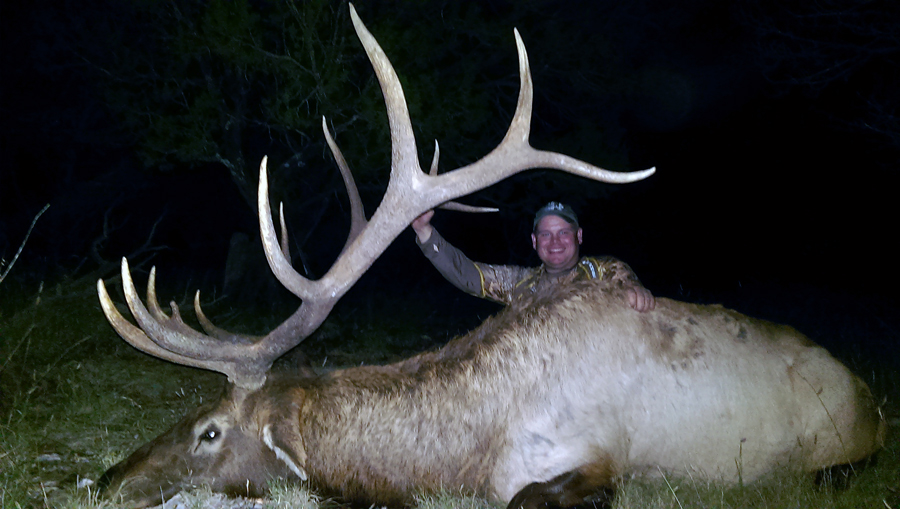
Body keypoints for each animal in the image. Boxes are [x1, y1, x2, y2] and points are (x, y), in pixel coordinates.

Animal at [96, 4, 885, 509]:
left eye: (209, 432)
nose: (107, 480)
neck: (460, 453)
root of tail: (871, 395)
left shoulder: (588, 455)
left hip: (841, 440)